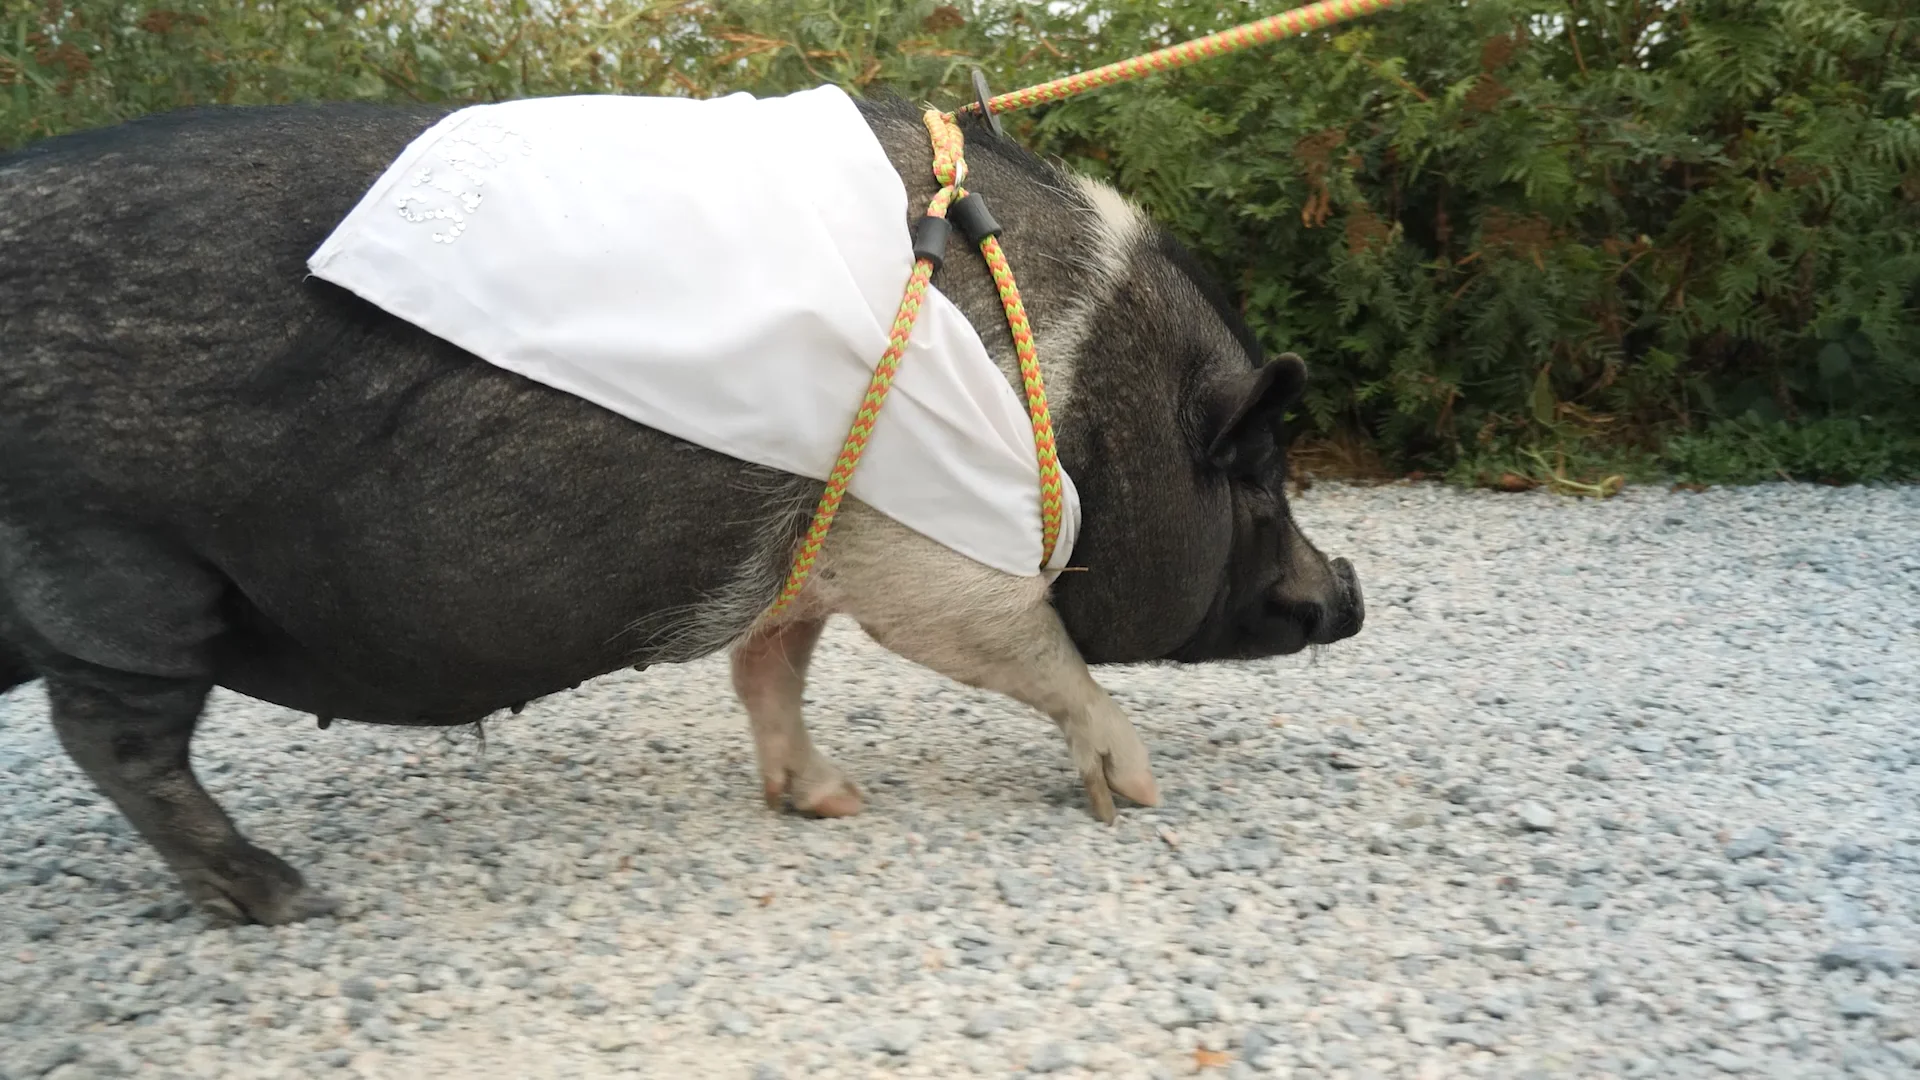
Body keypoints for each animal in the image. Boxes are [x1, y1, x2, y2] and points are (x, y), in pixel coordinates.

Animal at [0, 96, 1363, 924]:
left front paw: (830, 803)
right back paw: (289, 899)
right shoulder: (930, 561)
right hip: (123, 571)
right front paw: (1135, 793)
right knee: (115, 742)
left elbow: (771, 669)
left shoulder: (819, 540)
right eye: (1253, 468)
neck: (1078, 394)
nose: (1348, 592)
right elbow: (1038, 655)